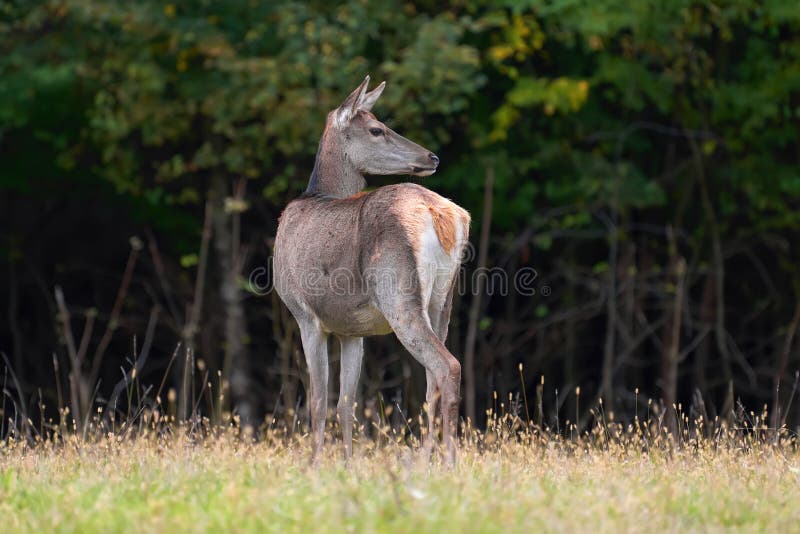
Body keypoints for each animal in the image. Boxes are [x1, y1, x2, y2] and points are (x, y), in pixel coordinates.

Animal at [274, 76, 470, 464]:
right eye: (377, 129)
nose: (432, 156)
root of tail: (440, 214)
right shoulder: (353, 329)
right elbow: (346, 404)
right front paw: (348, 464)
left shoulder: (304, 313)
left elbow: (318, 400)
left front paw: (313, 465)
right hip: (444, 299)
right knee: (432, 379)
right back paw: (429, 459)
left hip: (397, 290)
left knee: (446, 366)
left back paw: (445, 462)